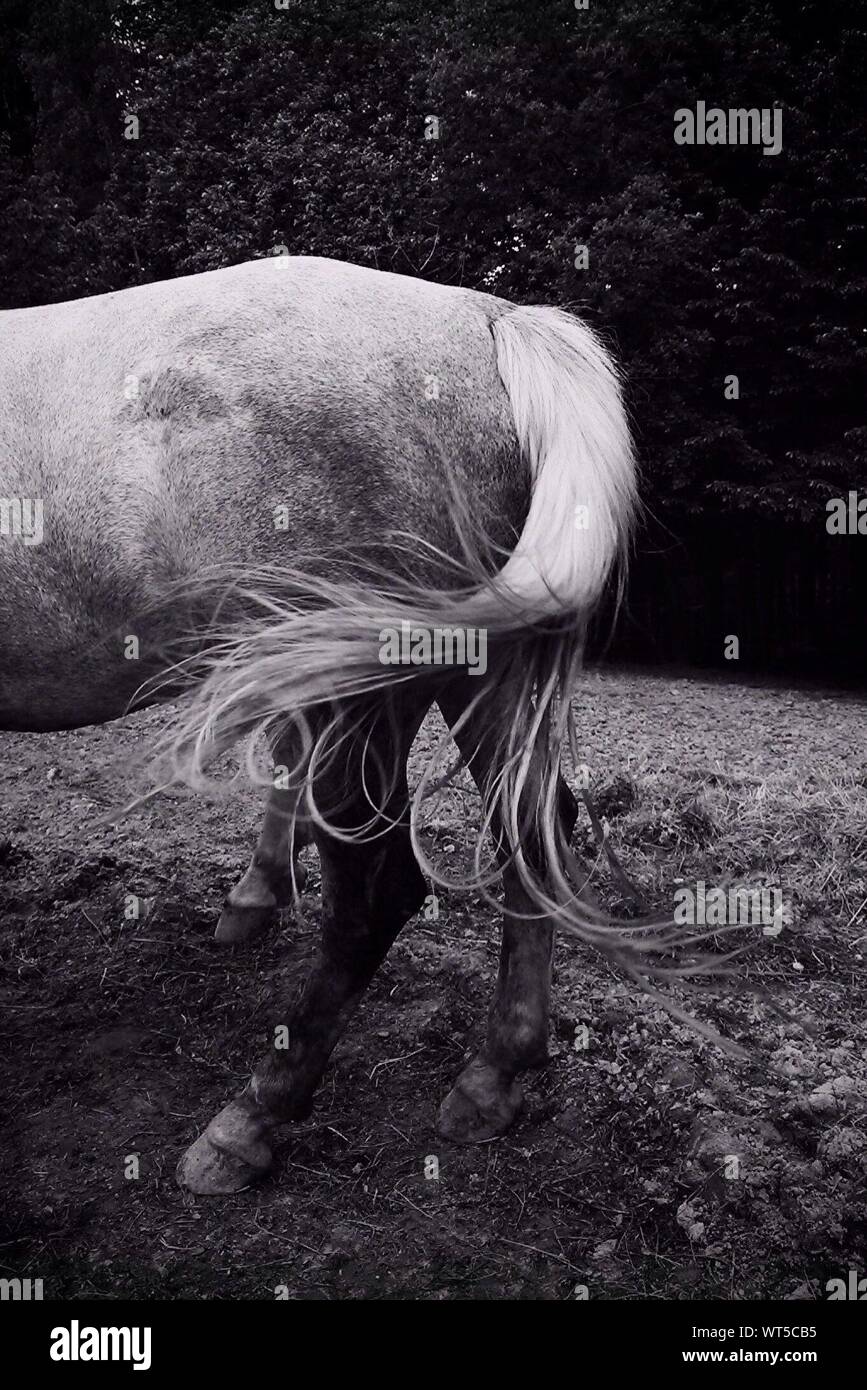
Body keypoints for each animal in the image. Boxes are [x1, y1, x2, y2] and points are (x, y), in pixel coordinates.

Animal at [0, 255, 639, 1194]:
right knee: (529, 829)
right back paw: (494, 1075)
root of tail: (483, 316)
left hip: (354, 692)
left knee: (376, 894)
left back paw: (253, 1118)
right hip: (476, 670)